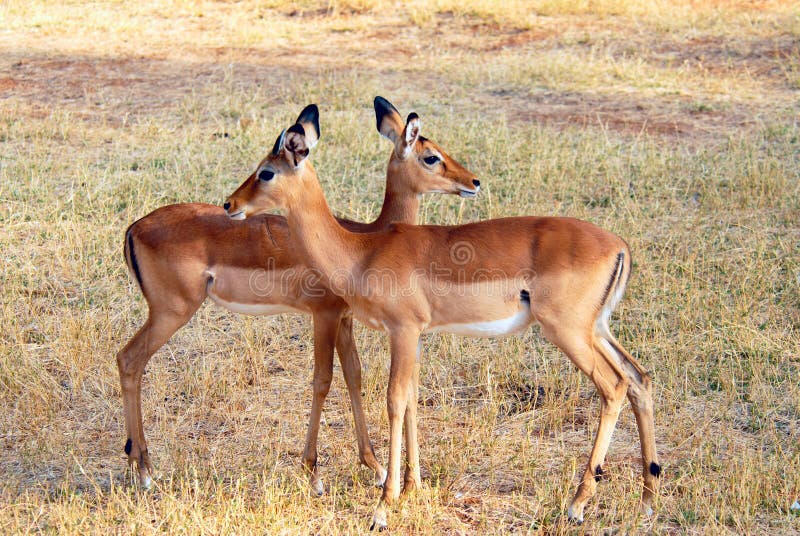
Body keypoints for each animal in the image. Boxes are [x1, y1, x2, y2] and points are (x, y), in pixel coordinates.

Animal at [117, 98, 480, 495]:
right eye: (430, 156)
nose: (473, 182)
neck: (362, 240)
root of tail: (134, 228)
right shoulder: (324, 315)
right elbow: (323, 380)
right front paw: (315, 474)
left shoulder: (344, 319)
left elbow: (354, 375)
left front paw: (374, 466)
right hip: (172, 311)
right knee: (128, 359)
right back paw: (144, 471)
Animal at [224, 113, 660, 528]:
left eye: (267, 171)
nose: (230, 204)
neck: (363, 251)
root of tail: (620, 246)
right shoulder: (416, 335)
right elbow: (412, 398)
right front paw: (412, 488)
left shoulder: (401, 331)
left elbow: (394, 400)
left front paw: (384, 505)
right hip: (596, 330)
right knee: (638, 377)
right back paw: (647, 502)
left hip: (568, 332)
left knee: (614, 386)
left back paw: (578, 504)